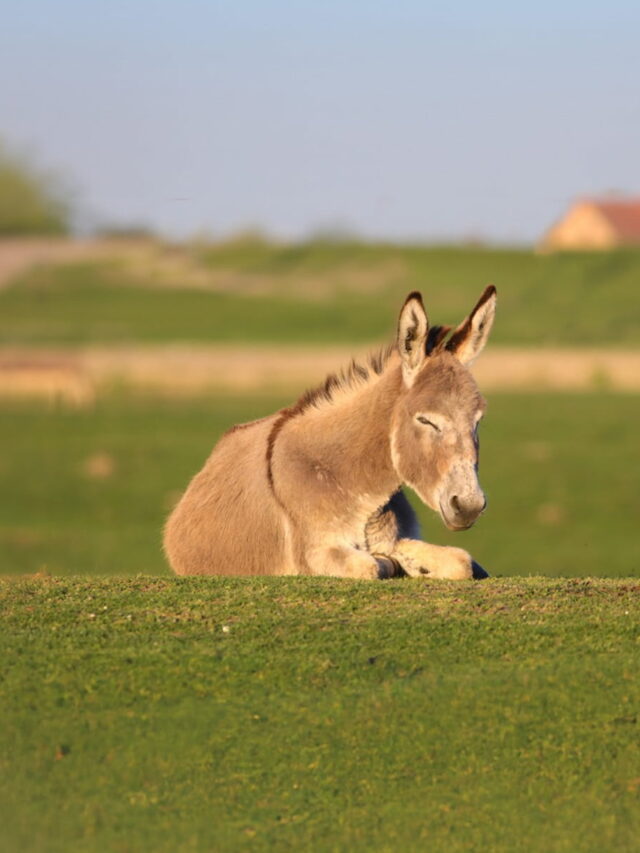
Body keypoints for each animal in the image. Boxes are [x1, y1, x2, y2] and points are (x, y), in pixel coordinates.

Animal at [164, 286, 496, 580]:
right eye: (425, 421)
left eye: (478, 420)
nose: (469, 506)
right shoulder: (316, 551)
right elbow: (372, 566)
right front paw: (394, 563)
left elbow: (463, 562)